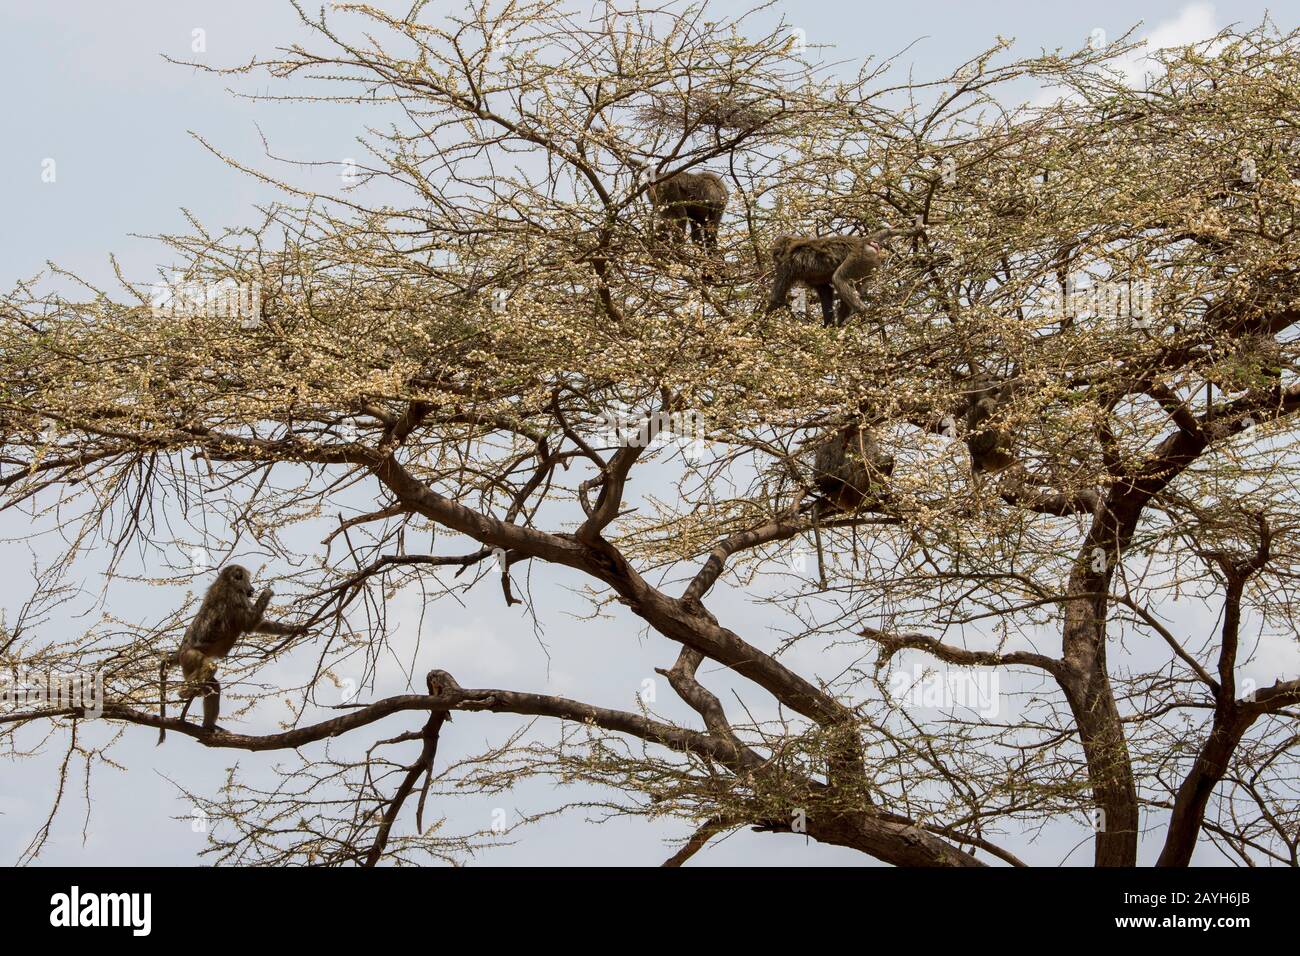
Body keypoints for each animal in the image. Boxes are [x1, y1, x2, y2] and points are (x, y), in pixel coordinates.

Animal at [158, 564, 301, 743]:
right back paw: (184, 692)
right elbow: (250, 624)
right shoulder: (236, 597)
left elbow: (257, 625)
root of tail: (179, 652)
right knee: (210, 666)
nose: (252, 589)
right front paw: (267, 592)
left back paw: (208, 725)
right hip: (189, 657)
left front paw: (296, 629)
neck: (226, 582)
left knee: (213, 685)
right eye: (247, 580)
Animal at [766, 225, 925, 328]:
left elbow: (776, 300)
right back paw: (839, 326)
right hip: (866, 266)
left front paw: (761, 323)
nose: (774, 260)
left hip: (859, 259)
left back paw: (862, 312)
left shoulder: (786, 266)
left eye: (775, 254)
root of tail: (864, 242)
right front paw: (827, 325)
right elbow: (825, 292)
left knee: (839, 279)